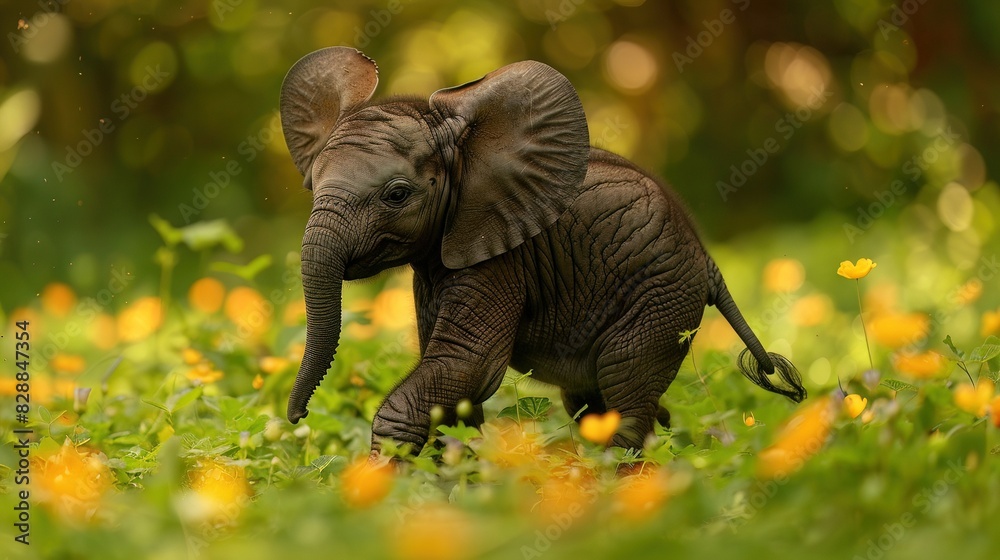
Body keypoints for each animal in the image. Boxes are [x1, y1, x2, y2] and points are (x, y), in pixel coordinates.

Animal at [280, 47, 806, 458]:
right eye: (313, 187)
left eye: (396, 195)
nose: (297, 417)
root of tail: (708, 261)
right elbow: (455, 392)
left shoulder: (502, 260)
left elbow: (466, 366)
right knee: (592, 402)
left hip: (662, 296)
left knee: (623, 388)